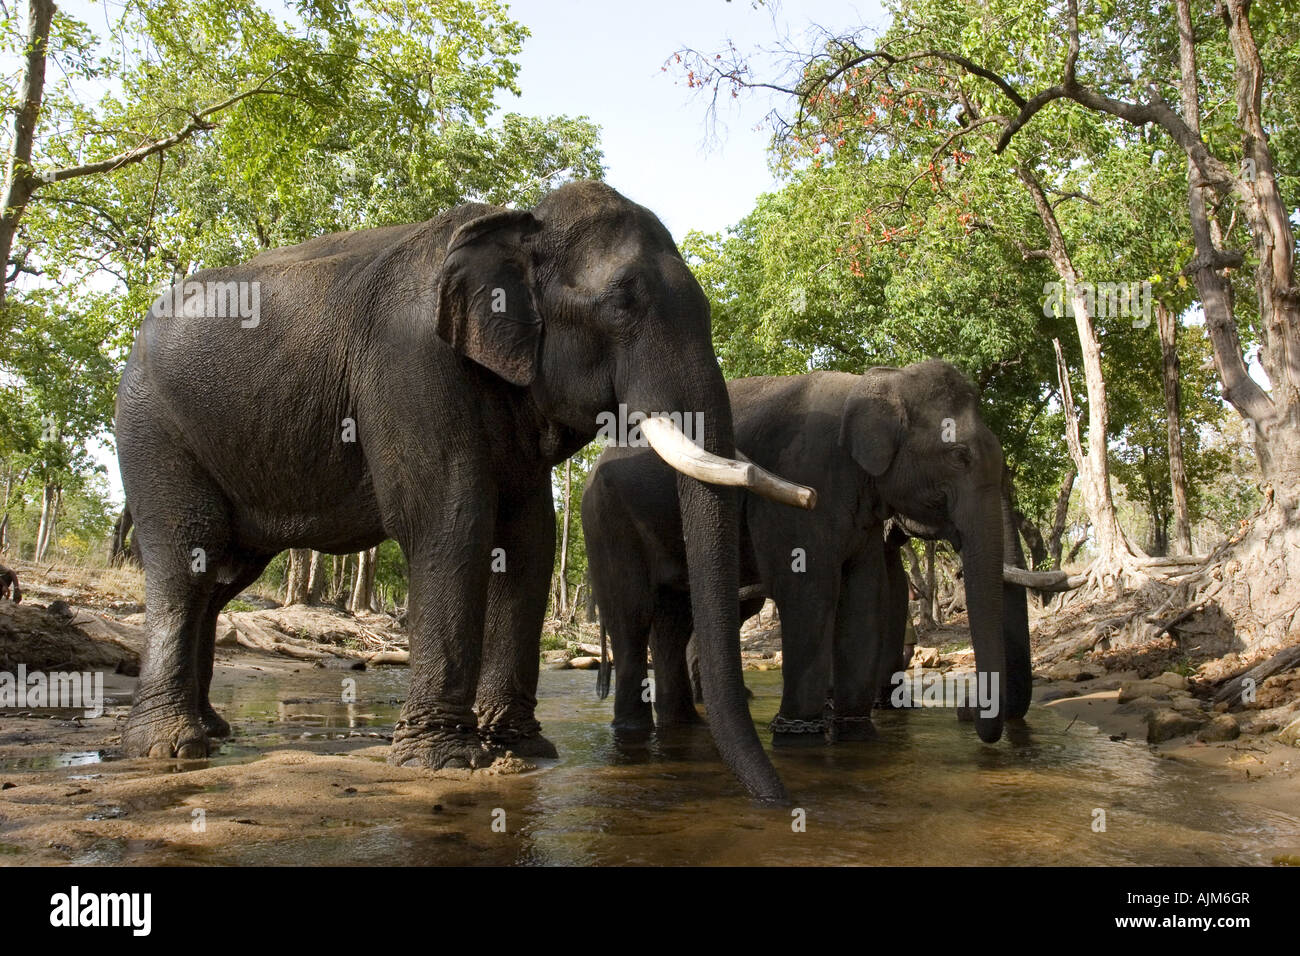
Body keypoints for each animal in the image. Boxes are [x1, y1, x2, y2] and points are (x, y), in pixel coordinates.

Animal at [114, 181, 814, 802]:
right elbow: (451, 519)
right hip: (152, 427)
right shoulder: (411, 366)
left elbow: (528, 538)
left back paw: (210, 731)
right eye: (622, 301)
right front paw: (447, 761)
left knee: (224, 574)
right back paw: (171, 747)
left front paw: (523, 750)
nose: (781, 803)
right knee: (187, 558)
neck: (519, 225)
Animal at [582, 360, 1031, 746]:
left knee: (673, 619)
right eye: (960, 457)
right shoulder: (803, 479)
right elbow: (808, 592)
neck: (874, 383)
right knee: (632, 616)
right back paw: (633, 731)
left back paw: (685, 725)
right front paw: (798, 735)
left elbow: (865, 594)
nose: (967, 709)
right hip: (606, 519)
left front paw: (856, 732)